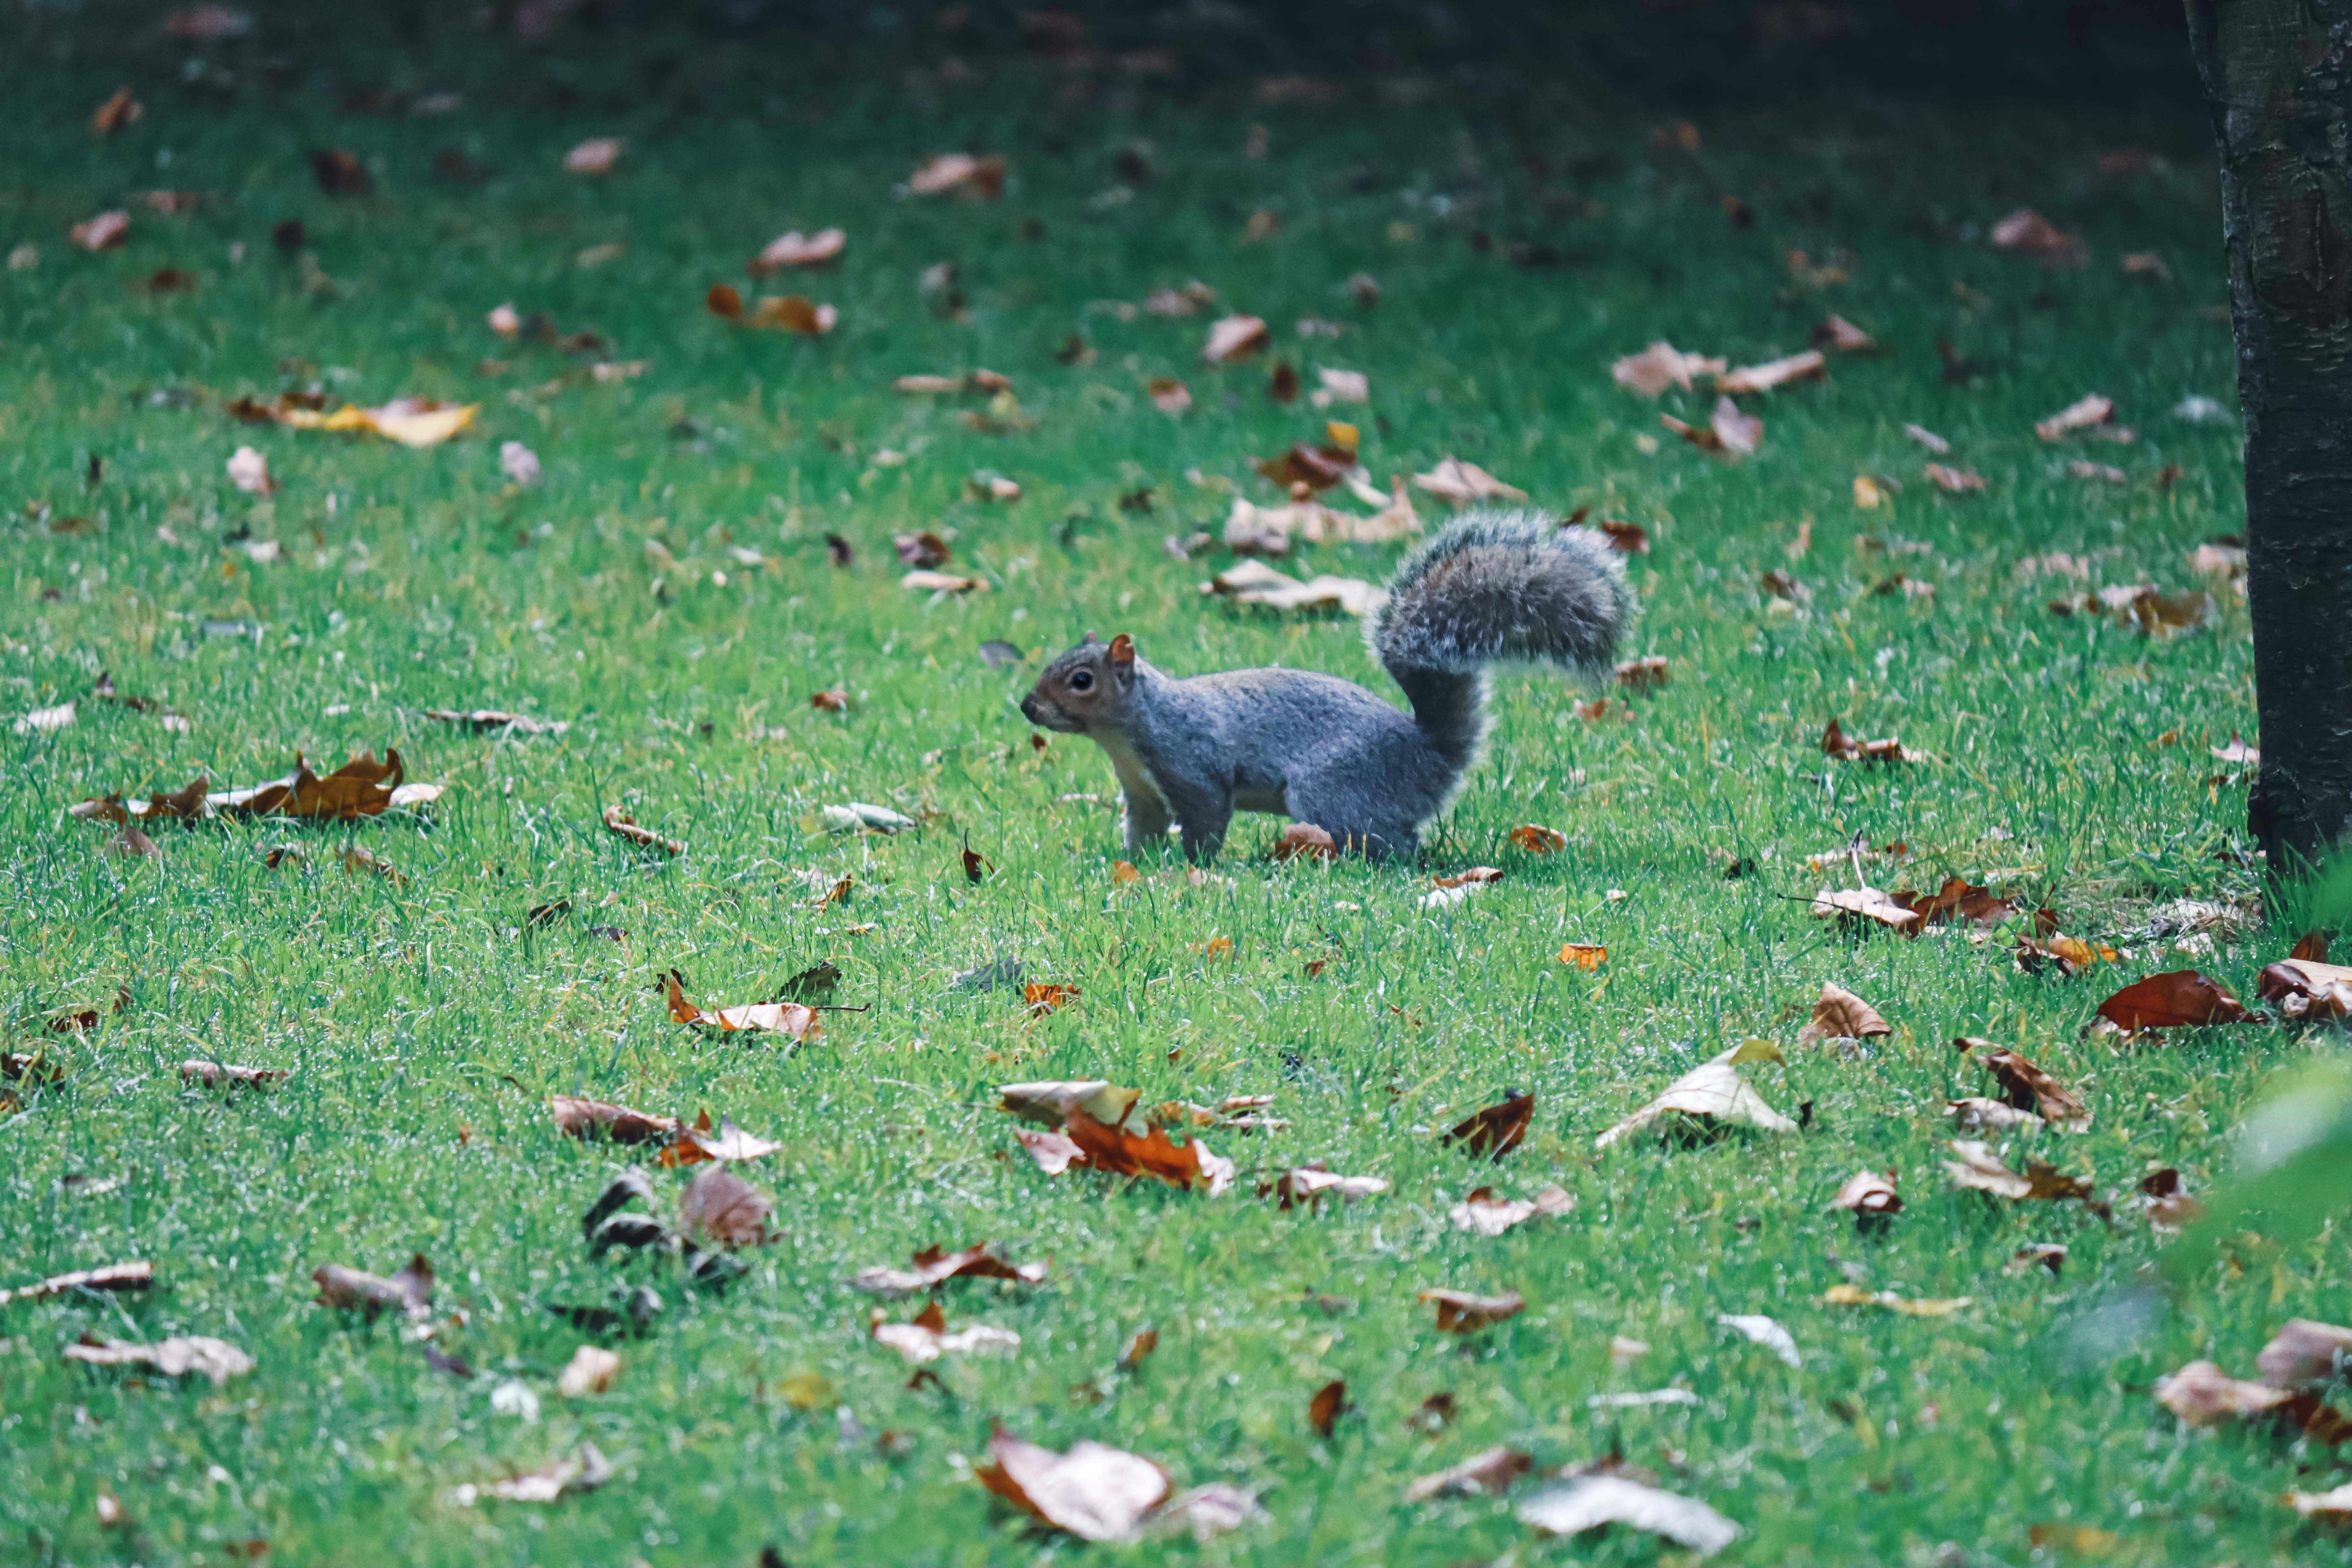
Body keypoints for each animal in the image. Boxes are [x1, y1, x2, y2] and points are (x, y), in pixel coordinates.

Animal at [1019, 507, 1635, 861]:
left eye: (1080, 681)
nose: (1028, 707)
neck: (1129, 730)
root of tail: (1429, 753)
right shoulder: (1142, 790)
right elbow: (1142, 832)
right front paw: (1130, 866)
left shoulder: (1193, 769)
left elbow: (1206, 822)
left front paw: (1191, 868)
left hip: (1332, 788)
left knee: (1395, 845)